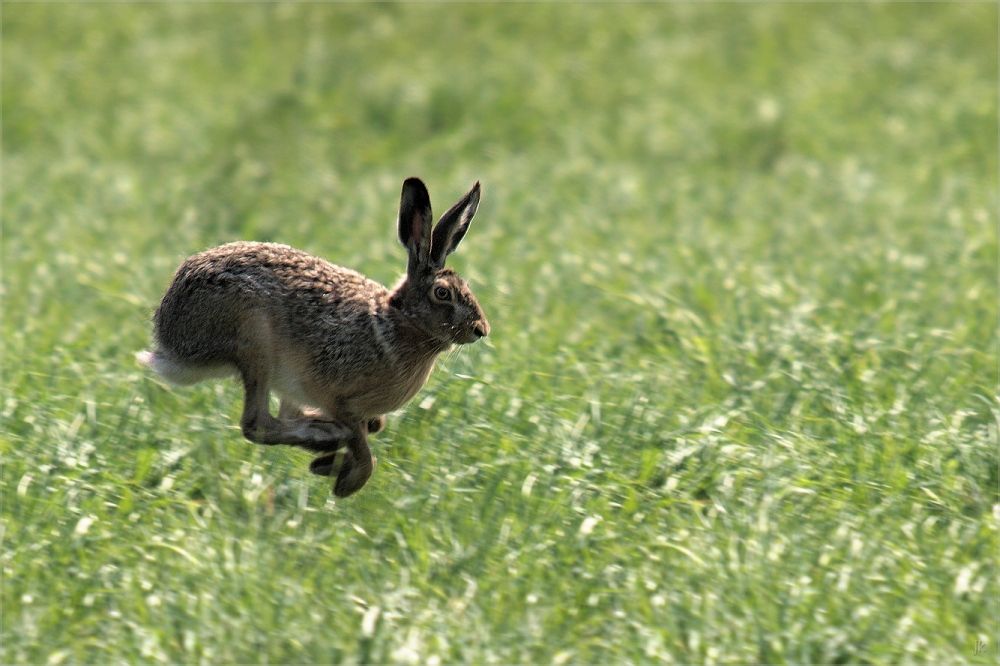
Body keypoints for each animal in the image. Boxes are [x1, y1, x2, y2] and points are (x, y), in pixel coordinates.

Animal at [138, 178, 490, 497]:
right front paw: (345, 482)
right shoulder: (342, 401)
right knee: (257, 423)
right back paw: (324, 437)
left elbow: (370, 431)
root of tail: (169, 339)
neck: (399, 322)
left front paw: (330, 464)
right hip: (255, 340)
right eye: (442, 293)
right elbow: (364, 453)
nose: (481, 329)